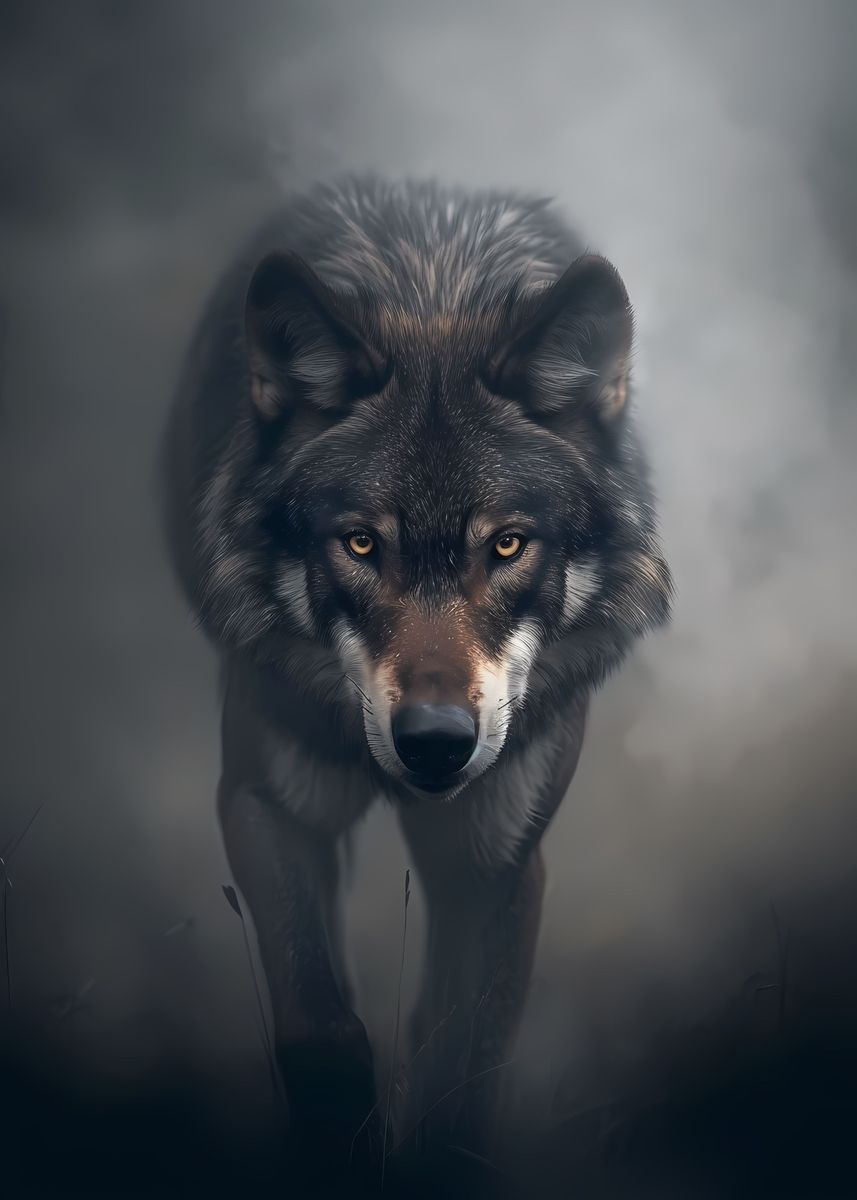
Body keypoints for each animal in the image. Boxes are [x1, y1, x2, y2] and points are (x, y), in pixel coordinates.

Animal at [163, 176, 671, 1157]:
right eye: (361, 543)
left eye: (507, 545)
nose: (434, 741)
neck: (435, 290)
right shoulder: (268, 803)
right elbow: (322, 1027)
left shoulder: (494, 863)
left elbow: (456, 1067)